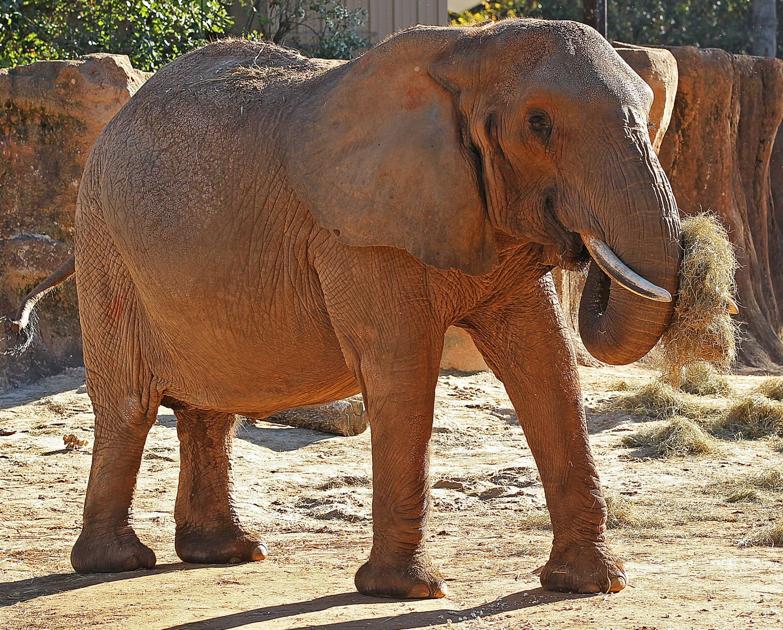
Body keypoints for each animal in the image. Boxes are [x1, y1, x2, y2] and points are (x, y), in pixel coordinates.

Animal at [14, 19, 682, 598]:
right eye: (538, 124)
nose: (584, 247)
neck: (464, 50)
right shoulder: (356, 234)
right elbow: (402, 369)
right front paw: (409, 591)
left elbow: (547, 364)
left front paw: (594, 584)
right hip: (106, 245)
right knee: (129, 403)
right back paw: (119, 562)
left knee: (211, 407)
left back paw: (229, 551)